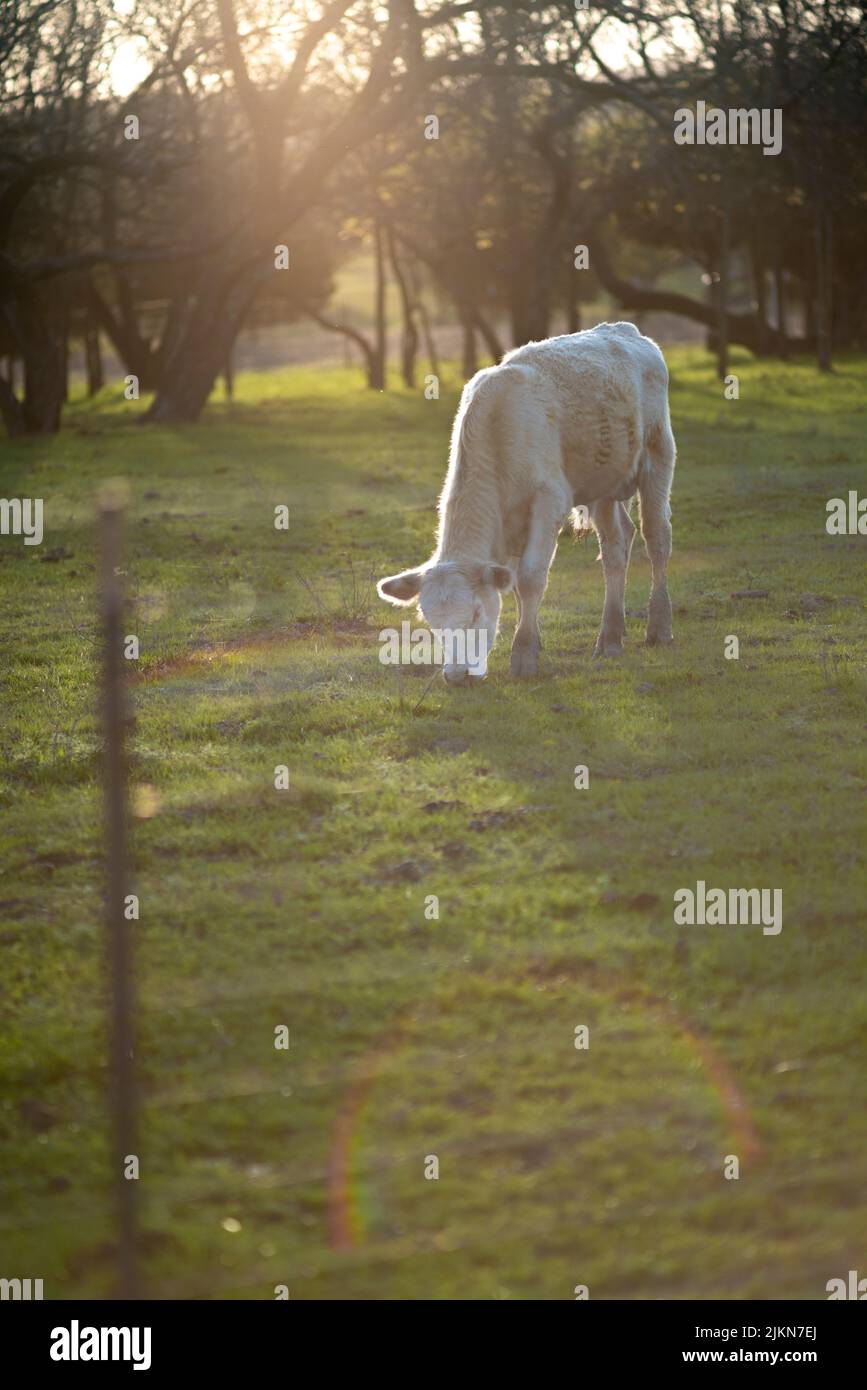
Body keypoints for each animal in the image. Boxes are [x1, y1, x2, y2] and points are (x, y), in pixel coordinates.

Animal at [377, 322, 676, 684]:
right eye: (431, 623)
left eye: (476, 613)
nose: (456, 675)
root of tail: (624, 329)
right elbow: (517, 586)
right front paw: (531, 638)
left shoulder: (549, 502)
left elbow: (531, 579)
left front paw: (524, 654)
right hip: (603, 484)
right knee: (616, 547)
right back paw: (610, 637)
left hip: (658, 454)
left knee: (656, 539)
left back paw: (659, 626)